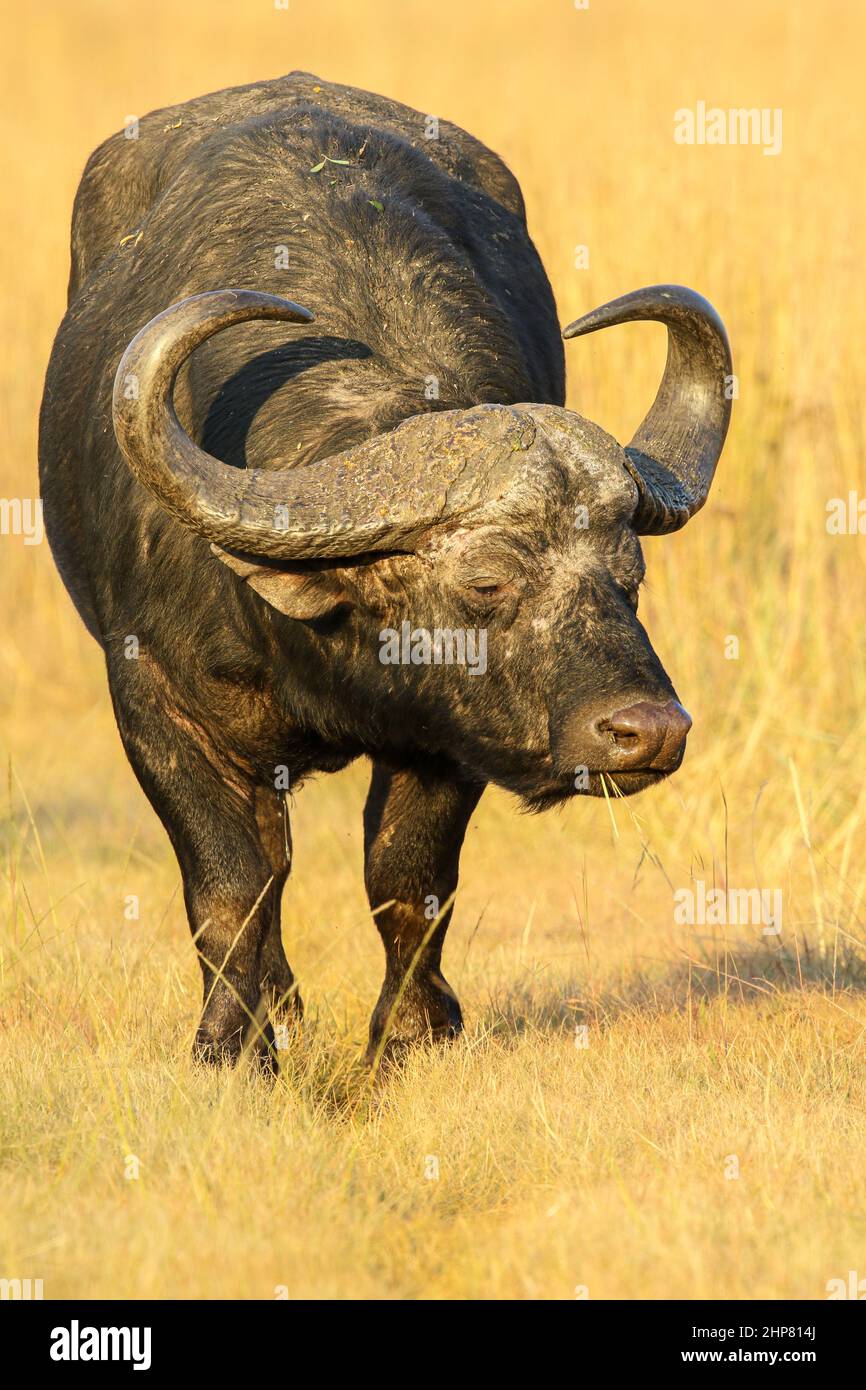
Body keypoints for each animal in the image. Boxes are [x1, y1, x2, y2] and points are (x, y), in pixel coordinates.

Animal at [39, 72, 732, 1070]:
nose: (649, 731)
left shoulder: (445, 733)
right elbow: (230, 884)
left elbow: (407, 877)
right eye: (486, 584)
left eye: (627, 577)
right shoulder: (153, 700)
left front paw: (413, 1034)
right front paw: (233, 1046)